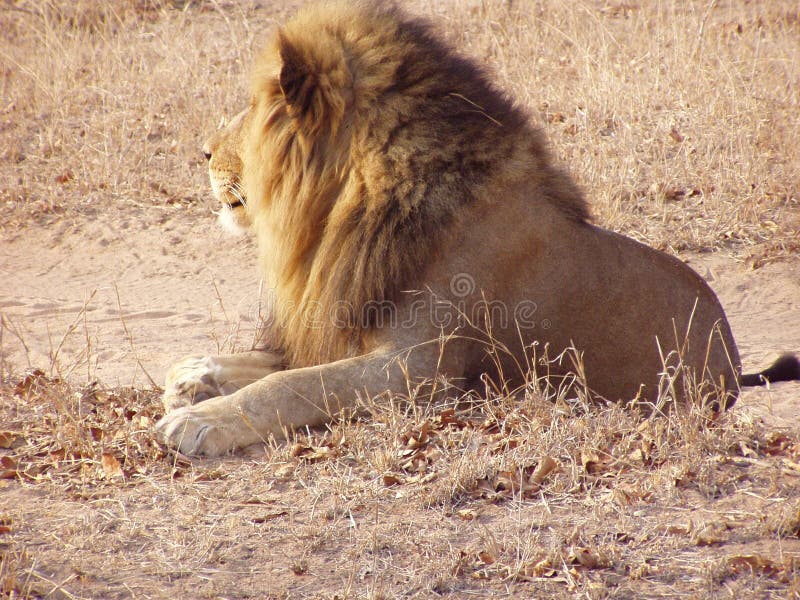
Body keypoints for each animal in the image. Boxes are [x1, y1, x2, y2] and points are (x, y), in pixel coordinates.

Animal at [155, 1, 799, 456]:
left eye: (249, 110)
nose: (202, 151)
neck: (349, 204)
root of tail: (734, 363)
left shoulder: (418, 372)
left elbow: (291, 385)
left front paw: (198, 420)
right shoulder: (347, 324)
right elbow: (275, 363)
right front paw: (197, 374)